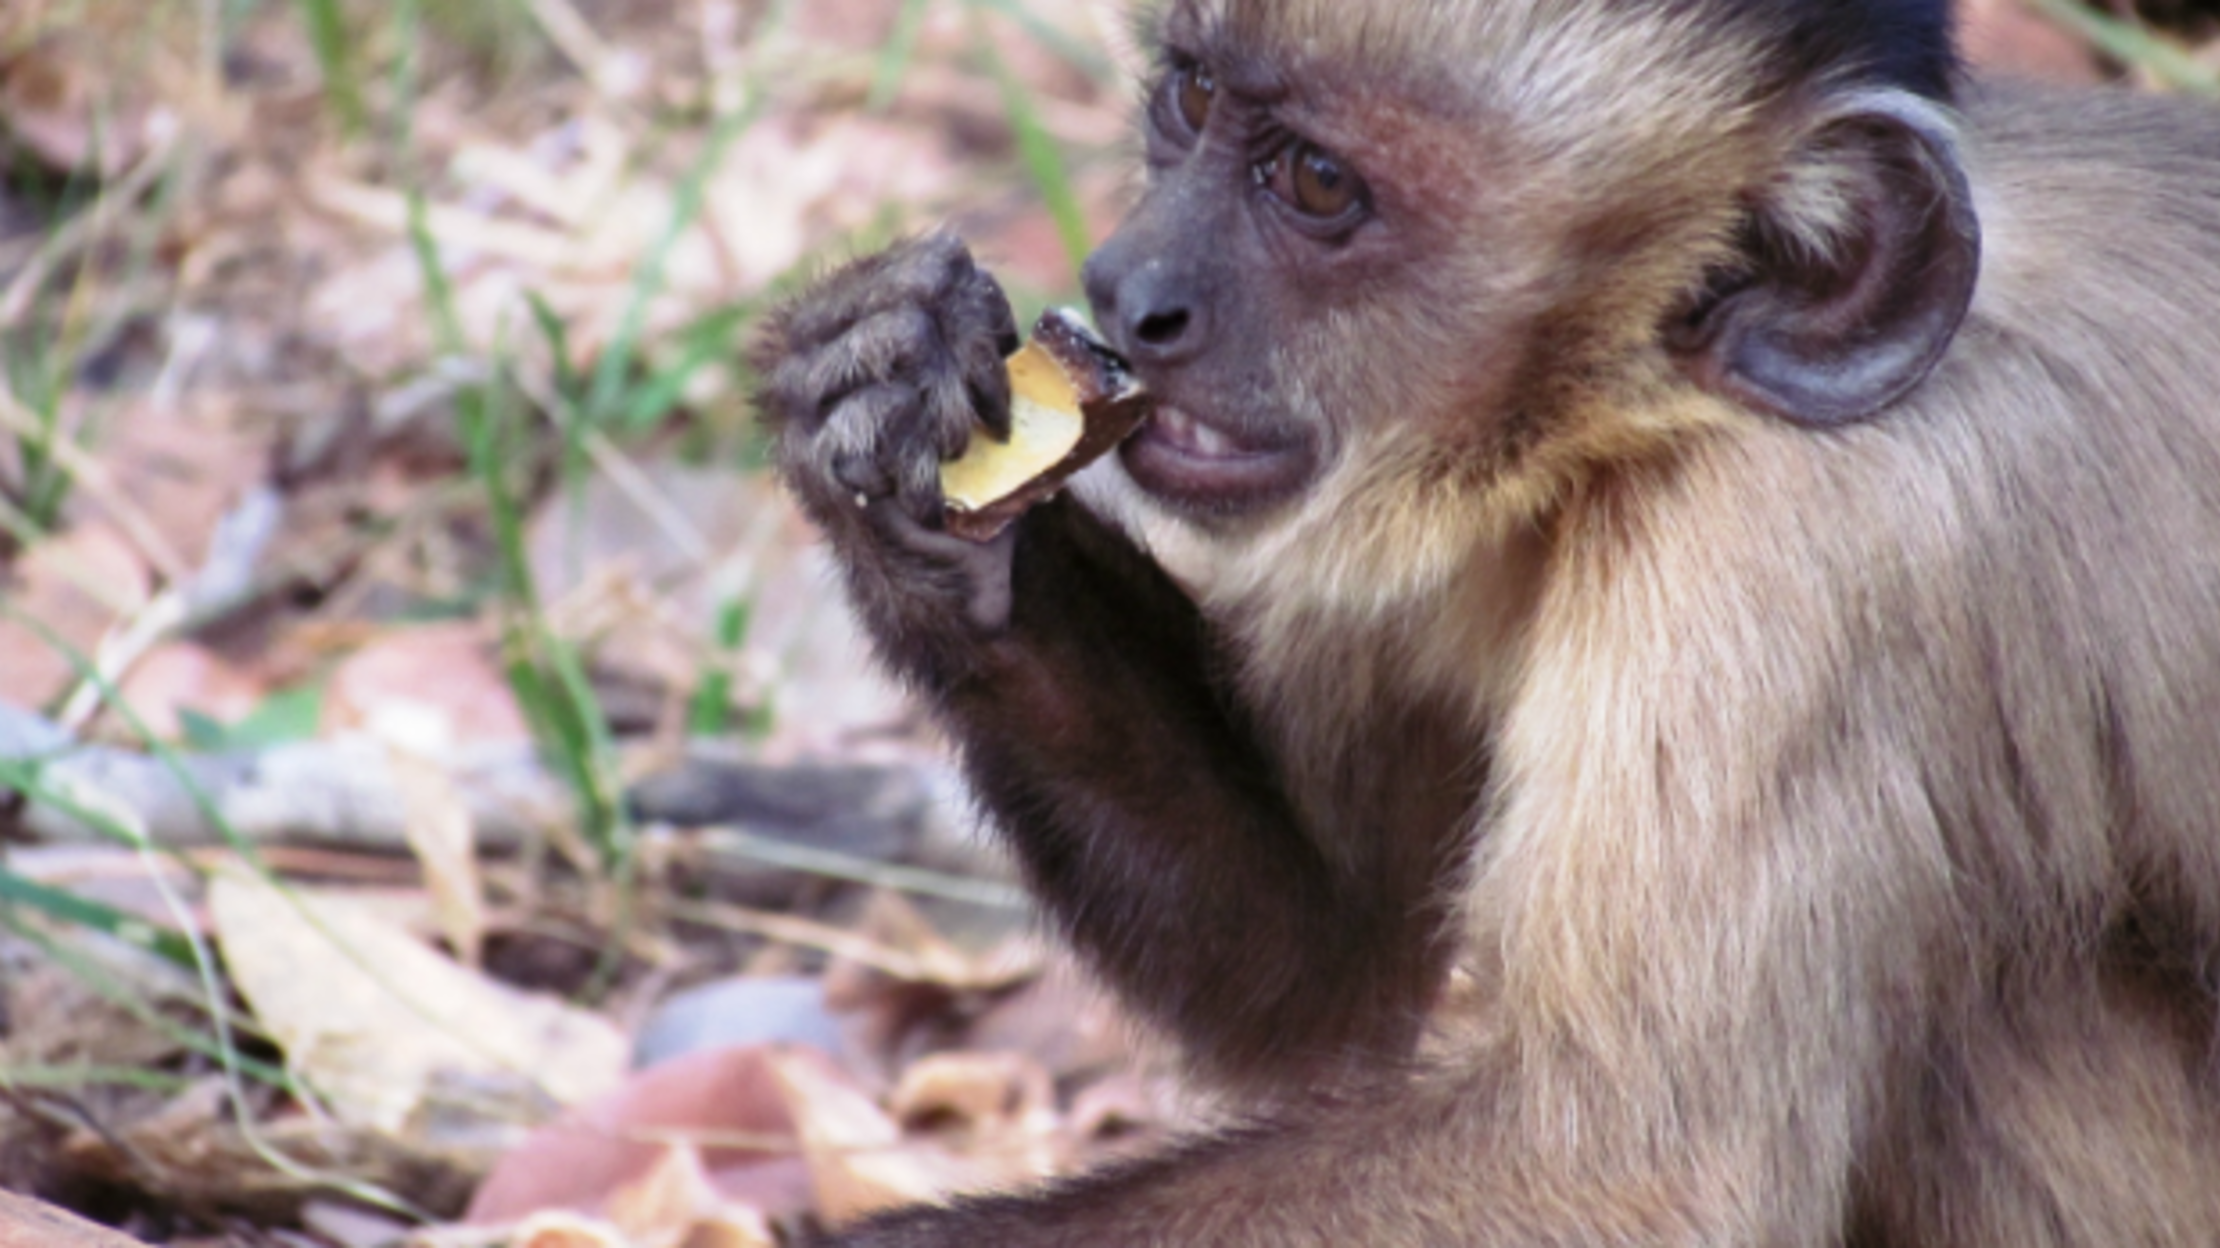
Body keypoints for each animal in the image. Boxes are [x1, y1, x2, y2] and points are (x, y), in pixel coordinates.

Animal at [746, 0, 2220, 1242]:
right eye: (1193, 97)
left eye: (1318, 185)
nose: (1127, 287)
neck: (1643, 408)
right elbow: (1325, 960)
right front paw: (895, 408)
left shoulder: (1813, 538)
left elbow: (1621, 1172)